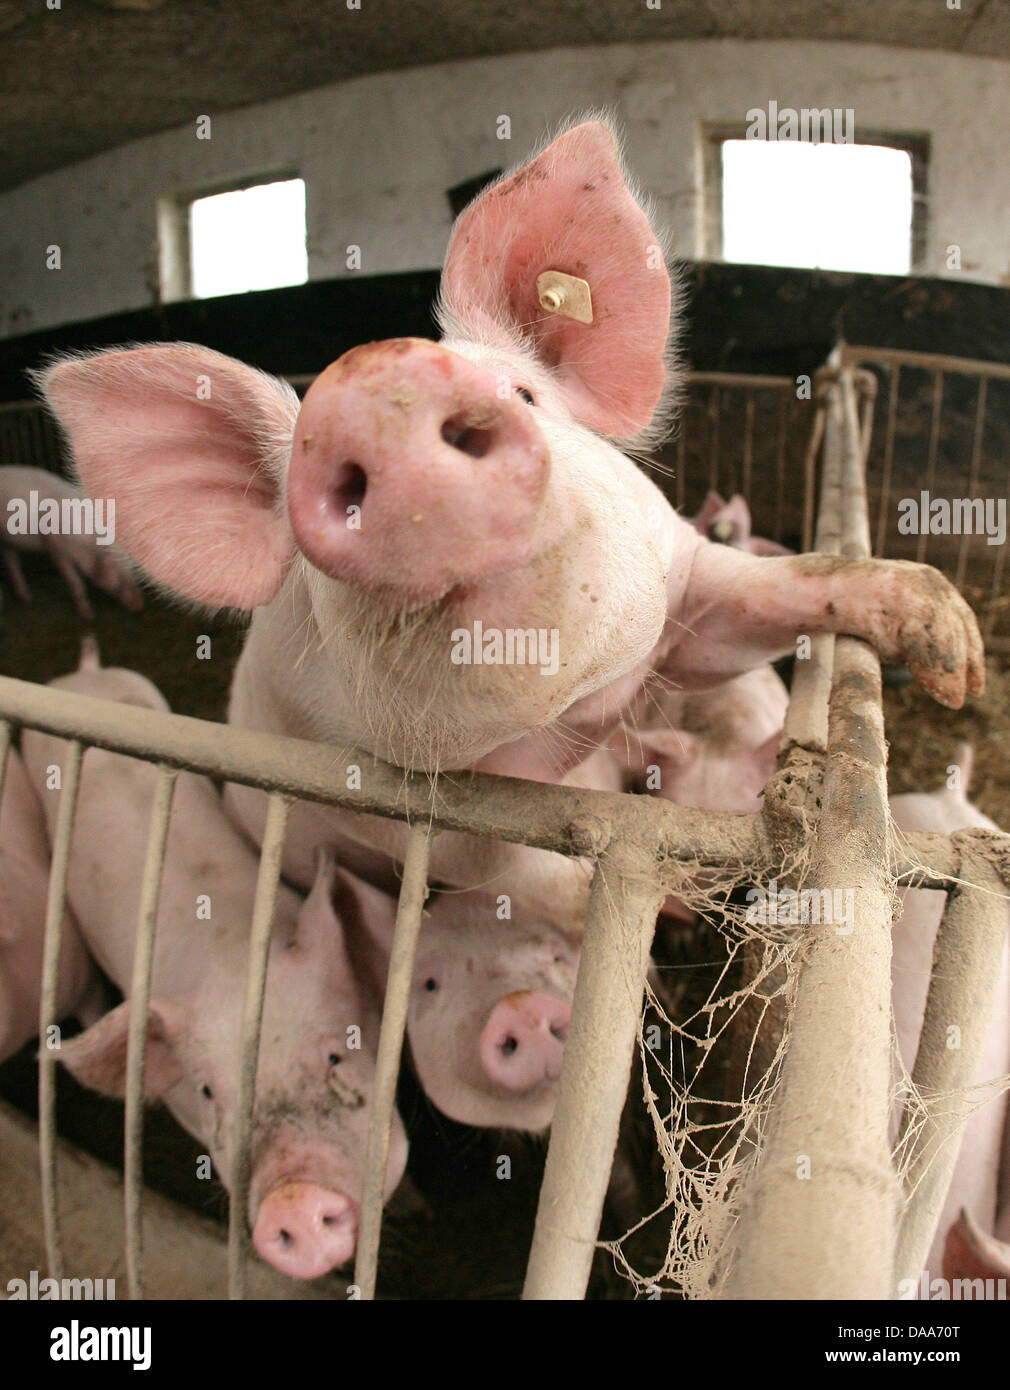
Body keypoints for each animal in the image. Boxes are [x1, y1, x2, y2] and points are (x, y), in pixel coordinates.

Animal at [0, 465, 143, 622]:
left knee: (11, 561)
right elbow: (75, 582)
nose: (140, 607)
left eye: (133, 576)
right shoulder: (57, 550)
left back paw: (27, 598)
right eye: (121, 581)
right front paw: (89, 617)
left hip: (7, 541)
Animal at [32, 118, 983, 929]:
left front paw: (956, 657)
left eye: (523, 393)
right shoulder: (382, 796)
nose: (373, 381)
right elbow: (531, 873)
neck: (568, 719)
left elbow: (777, 592)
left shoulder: (685, 589)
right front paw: (659, 912)